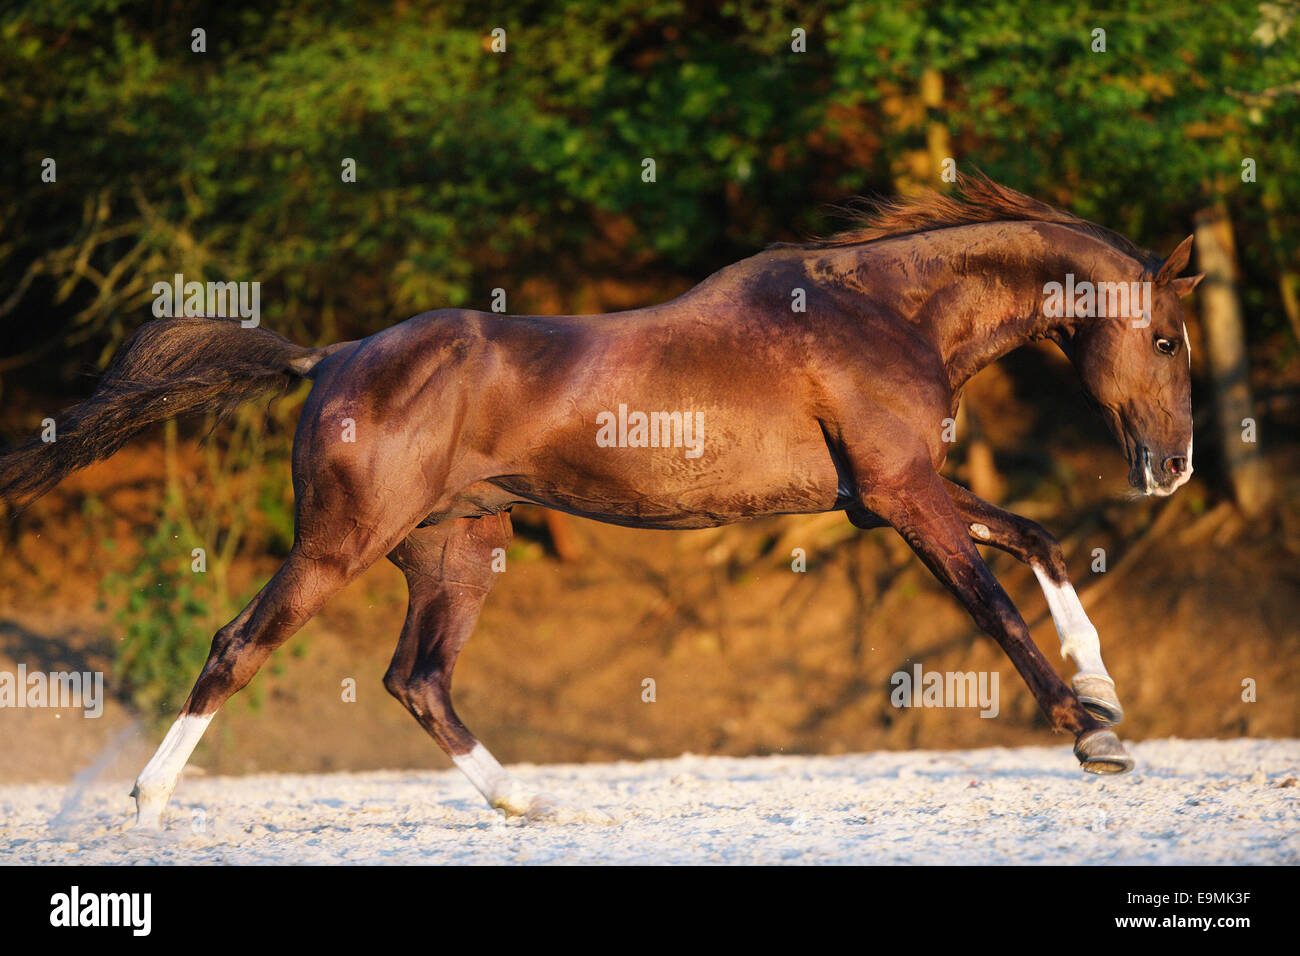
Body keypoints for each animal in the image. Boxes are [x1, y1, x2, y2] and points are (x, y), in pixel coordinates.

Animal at [0, 173, 1203, 826]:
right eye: (1162, 337)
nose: (1174, 468)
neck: (879, 307)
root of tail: (330, 357)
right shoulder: (902, 494)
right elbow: (993, 604)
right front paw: (1090, 733)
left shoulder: (886, 496)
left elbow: (1038, 538)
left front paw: (1101, 685)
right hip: (343, 543)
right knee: (238, 644)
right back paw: (148, 803)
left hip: (458, 547)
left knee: (416, 679)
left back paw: (524, 802)